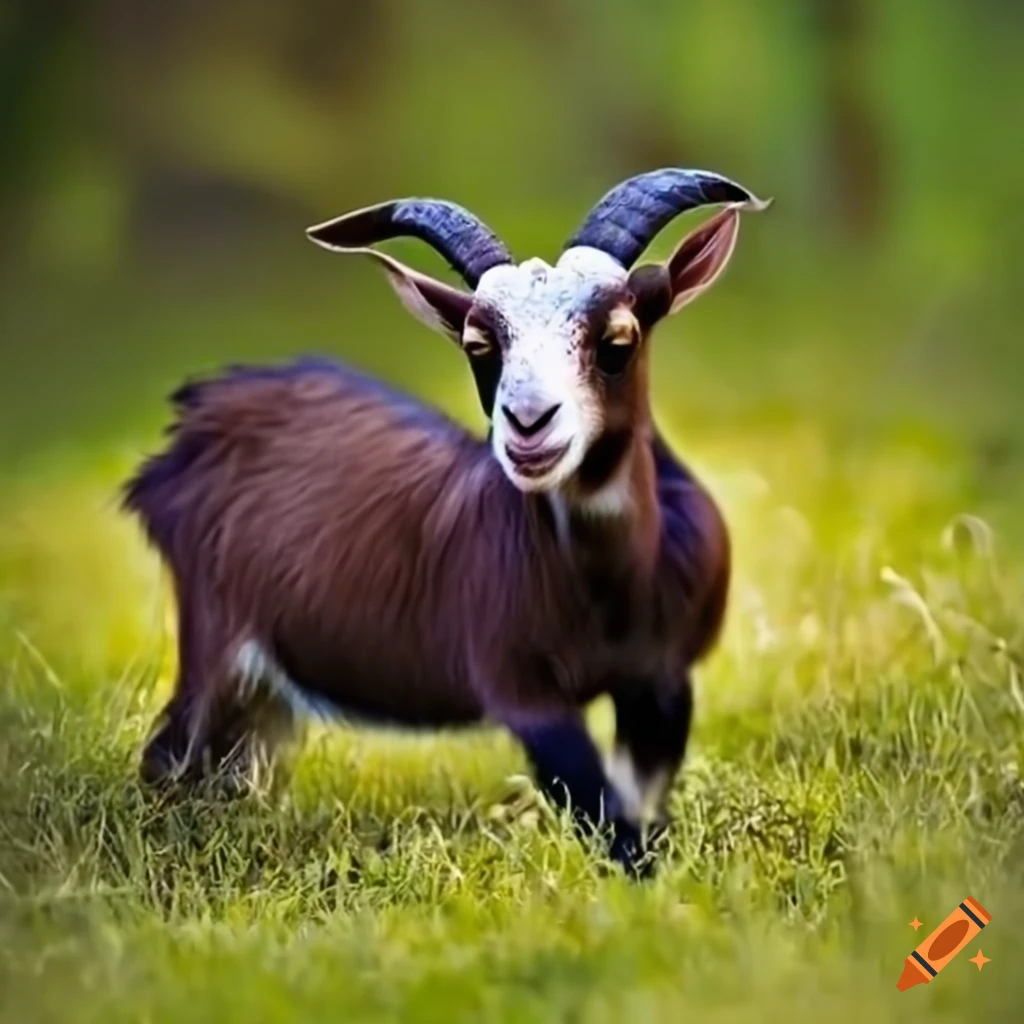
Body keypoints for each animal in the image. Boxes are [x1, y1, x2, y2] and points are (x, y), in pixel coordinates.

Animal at [124, 168, 769, 876]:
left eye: (619, 340)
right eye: (480, 346)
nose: (529, 424)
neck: (611, 597)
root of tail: (197, 414)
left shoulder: (662, 679)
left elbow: (640, 814)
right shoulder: (522, 689)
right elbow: (606, 817)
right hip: (215, 631)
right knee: (173, 757)